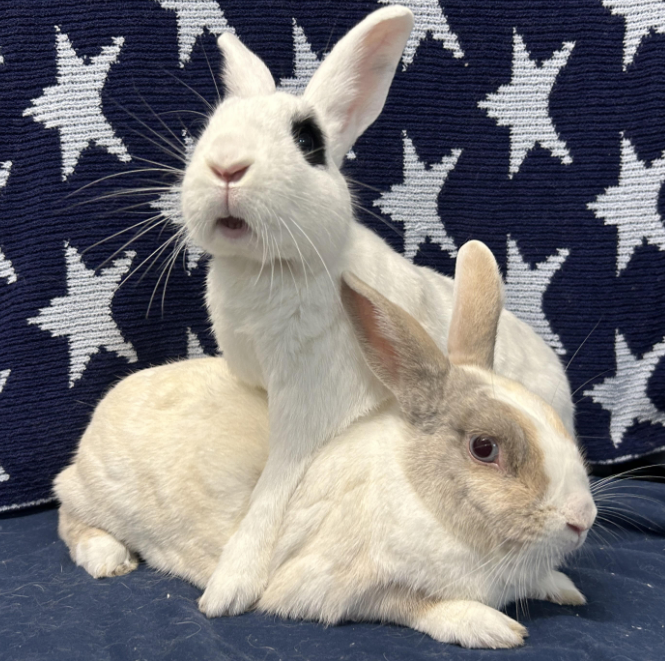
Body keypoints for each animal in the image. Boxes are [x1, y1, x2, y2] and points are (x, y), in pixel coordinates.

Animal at [55, 240, 596, 650]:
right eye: (484, 448)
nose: (582, 519)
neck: (420, 494)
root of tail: (103, 411)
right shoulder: (333, 589)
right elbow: (418, 604)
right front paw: (493, 627)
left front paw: (564, 588)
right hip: (98, 493)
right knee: (68, 515)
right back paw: (109, 559)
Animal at [179, 5, 575, 616]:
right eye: (208, 130)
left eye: (308, 141)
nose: (226, 166)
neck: (269, 270)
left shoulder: (307, 414)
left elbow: (271, 495)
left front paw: (227, 589)